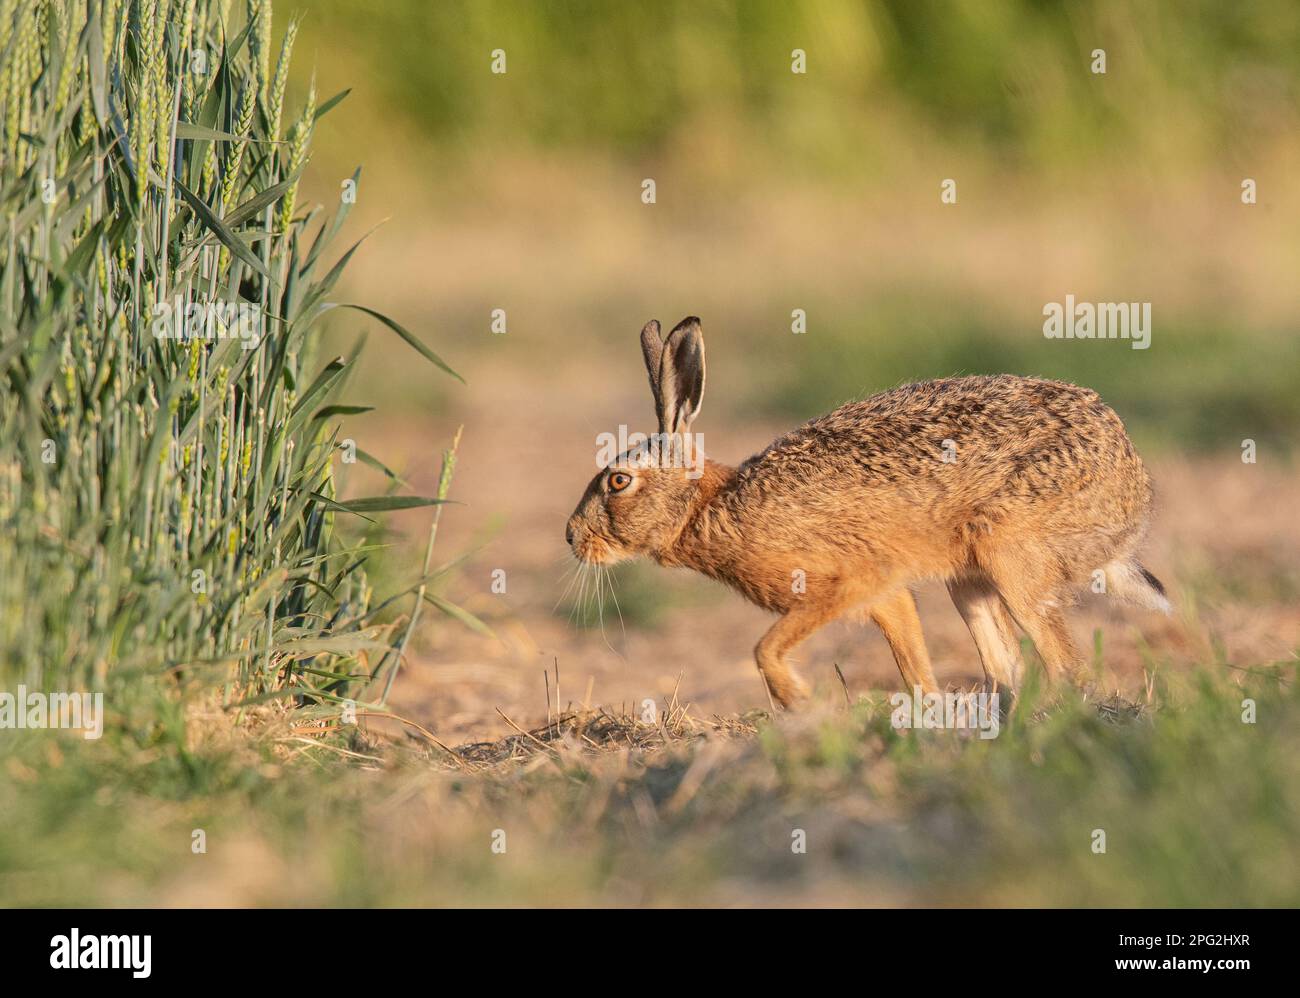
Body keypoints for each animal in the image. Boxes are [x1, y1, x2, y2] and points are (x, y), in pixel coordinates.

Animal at [565, 316, 1169, 708]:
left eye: (618, 481)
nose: (572, 537)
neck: (707, 508)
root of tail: (1132, 487)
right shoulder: (888, 596)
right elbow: (914, 665)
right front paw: (926, 716)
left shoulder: (848, 580)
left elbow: (764, 649)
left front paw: (800, 701)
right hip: (970, 578)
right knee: (1006, 666)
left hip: (1014, 554)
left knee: (1065, 665)